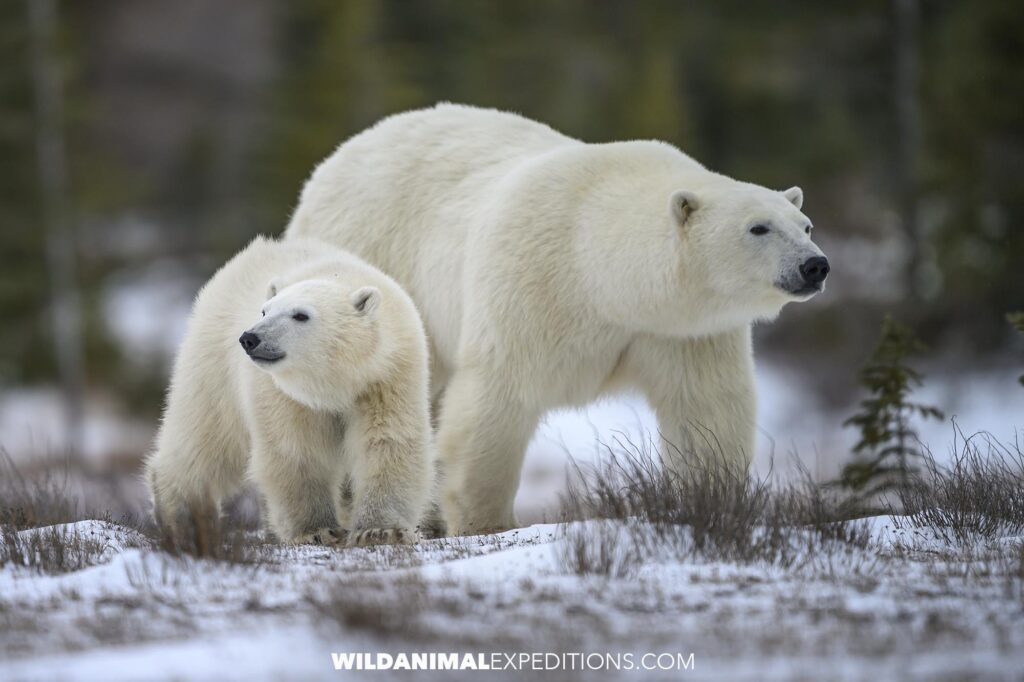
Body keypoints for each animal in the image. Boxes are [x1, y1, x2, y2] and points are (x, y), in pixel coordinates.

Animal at [144, 236, 434, 547]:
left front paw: (380, 530)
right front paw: (318, 530)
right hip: (212, 360)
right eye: (265, 310)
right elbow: (296, 448)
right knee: (203, 438)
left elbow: (388, 441)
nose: (250, 338)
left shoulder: (387, 378)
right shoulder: (283, 394)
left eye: (300, 315)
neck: (335, 383)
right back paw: (183, 518)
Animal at [285, 103, 830, 536]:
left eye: (805, 224)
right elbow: (498, 397)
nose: (815, 265)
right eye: (758, 227)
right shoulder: (533, 283)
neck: (600, 271)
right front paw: (487, 521)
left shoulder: (681, 330)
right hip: (374, 259)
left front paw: (712, 501)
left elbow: (706, 408)